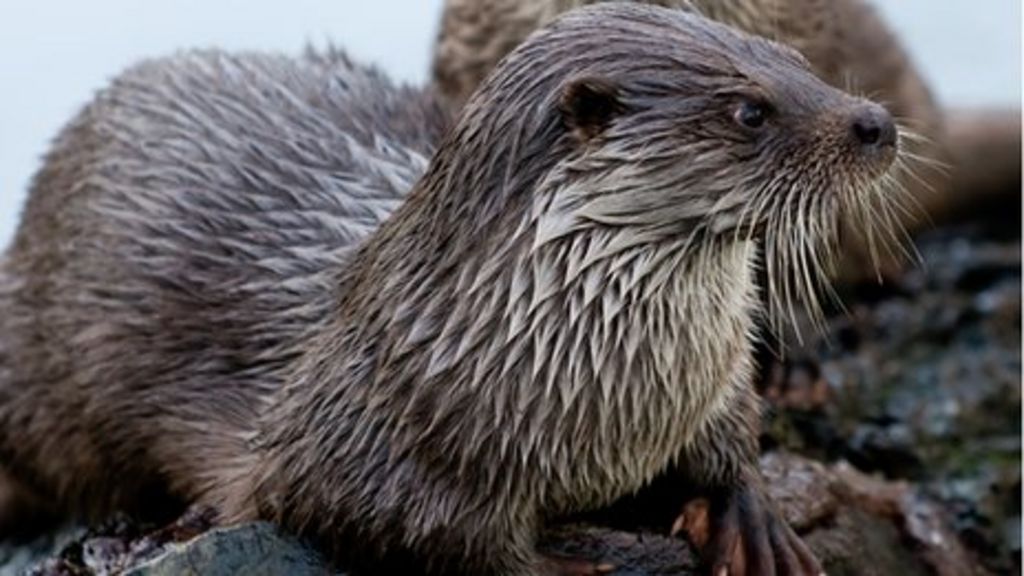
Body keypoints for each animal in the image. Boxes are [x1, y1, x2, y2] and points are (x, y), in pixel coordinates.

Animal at [0, 4, 902, 574]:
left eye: (798, 62)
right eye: (749, 111)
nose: (877, 123)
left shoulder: (712, 380)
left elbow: (733, 440)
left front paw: (750, 517)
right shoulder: (363, 444)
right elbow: (421, 532)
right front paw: (565, 563)